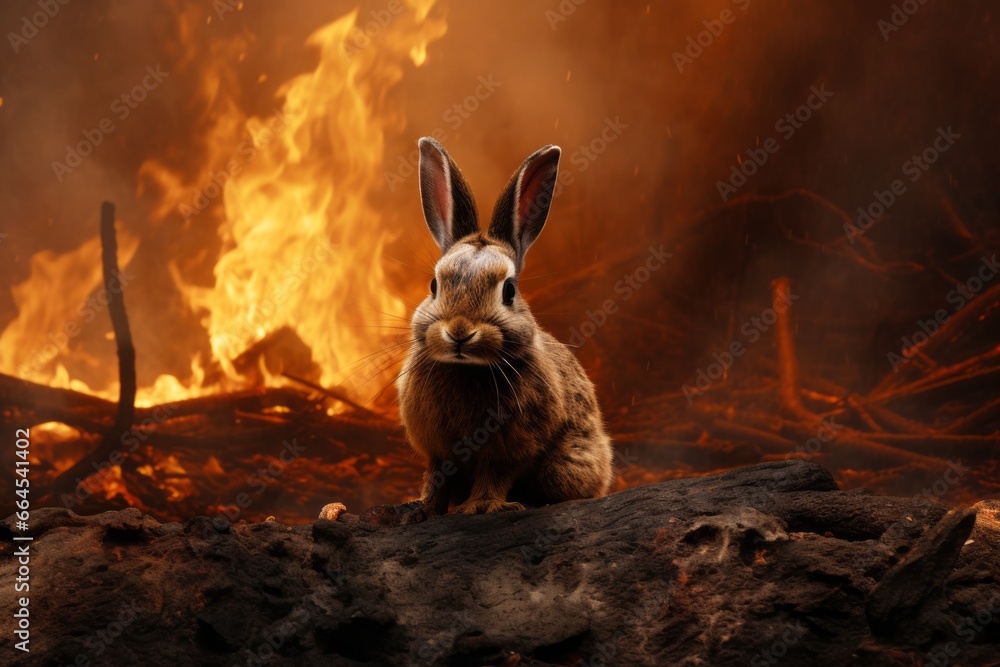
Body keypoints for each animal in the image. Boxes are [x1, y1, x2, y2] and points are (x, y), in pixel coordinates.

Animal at [396, 136, 614, 516]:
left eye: (509, 290)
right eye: (434, 286)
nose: (459, 331)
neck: (466, 369)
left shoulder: (509, 448)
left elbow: (495, 473)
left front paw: (482, 507)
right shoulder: (438, 450)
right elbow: (437, 476)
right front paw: (422, 509)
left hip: (564, 467)